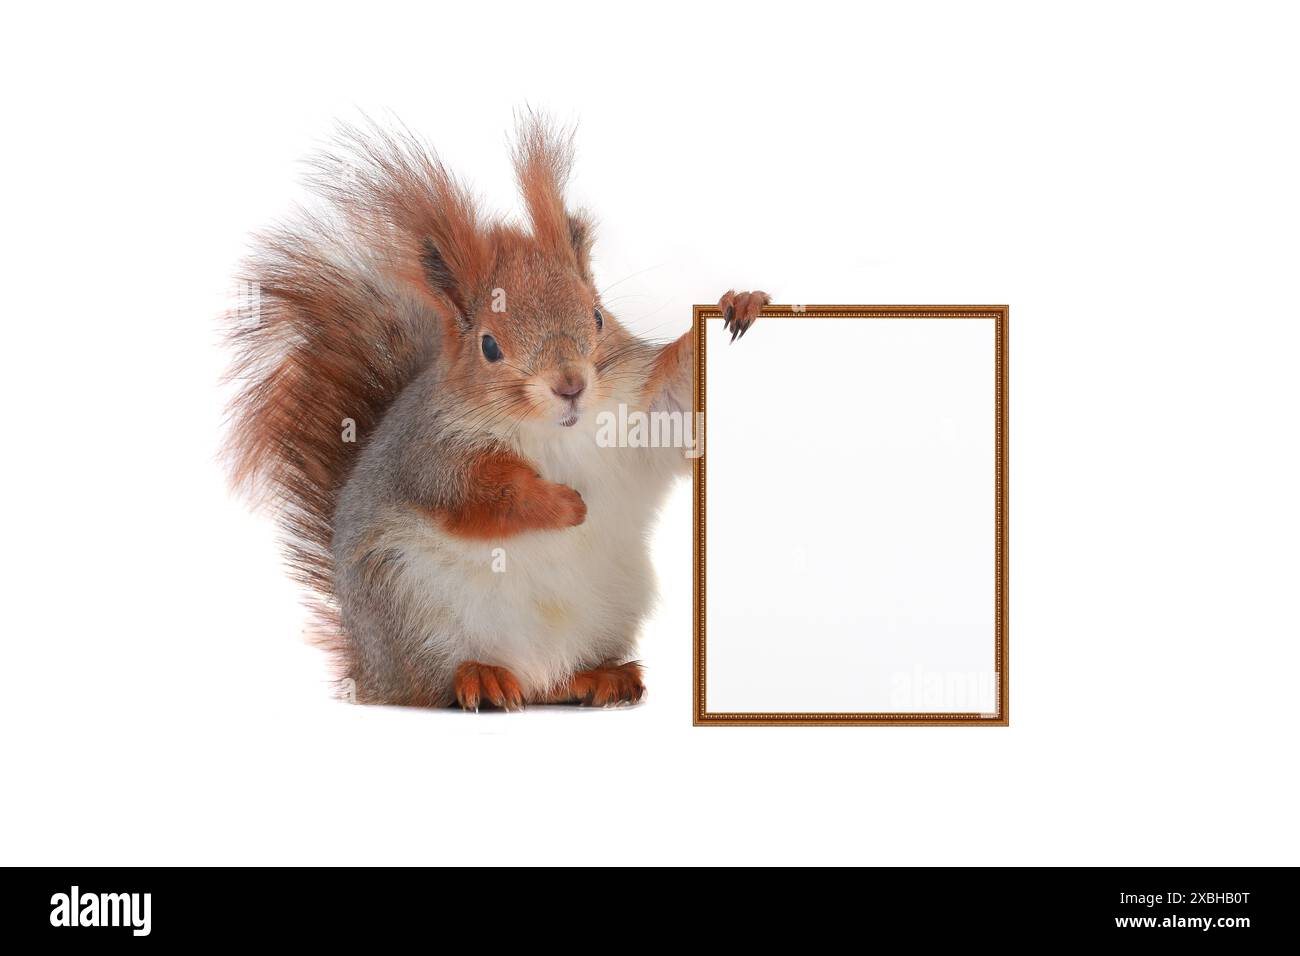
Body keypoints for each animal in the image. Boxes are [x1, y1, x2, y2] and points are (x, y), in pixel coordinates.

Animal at [224, 115, 768, 710]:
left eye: (598, 316)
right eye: (489, 346)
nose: (571, 385)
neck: (558, 433)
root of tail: (370, 671)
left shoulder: (637, 412)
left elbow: (677, 401)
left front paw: (740, 304)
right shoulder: (431, 450)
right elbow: (476, 493)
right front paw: (562, 504)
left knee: (554, 682)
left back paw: (600, 676)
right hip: (410, 609)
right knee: (436, 682)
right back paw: (479, 678)